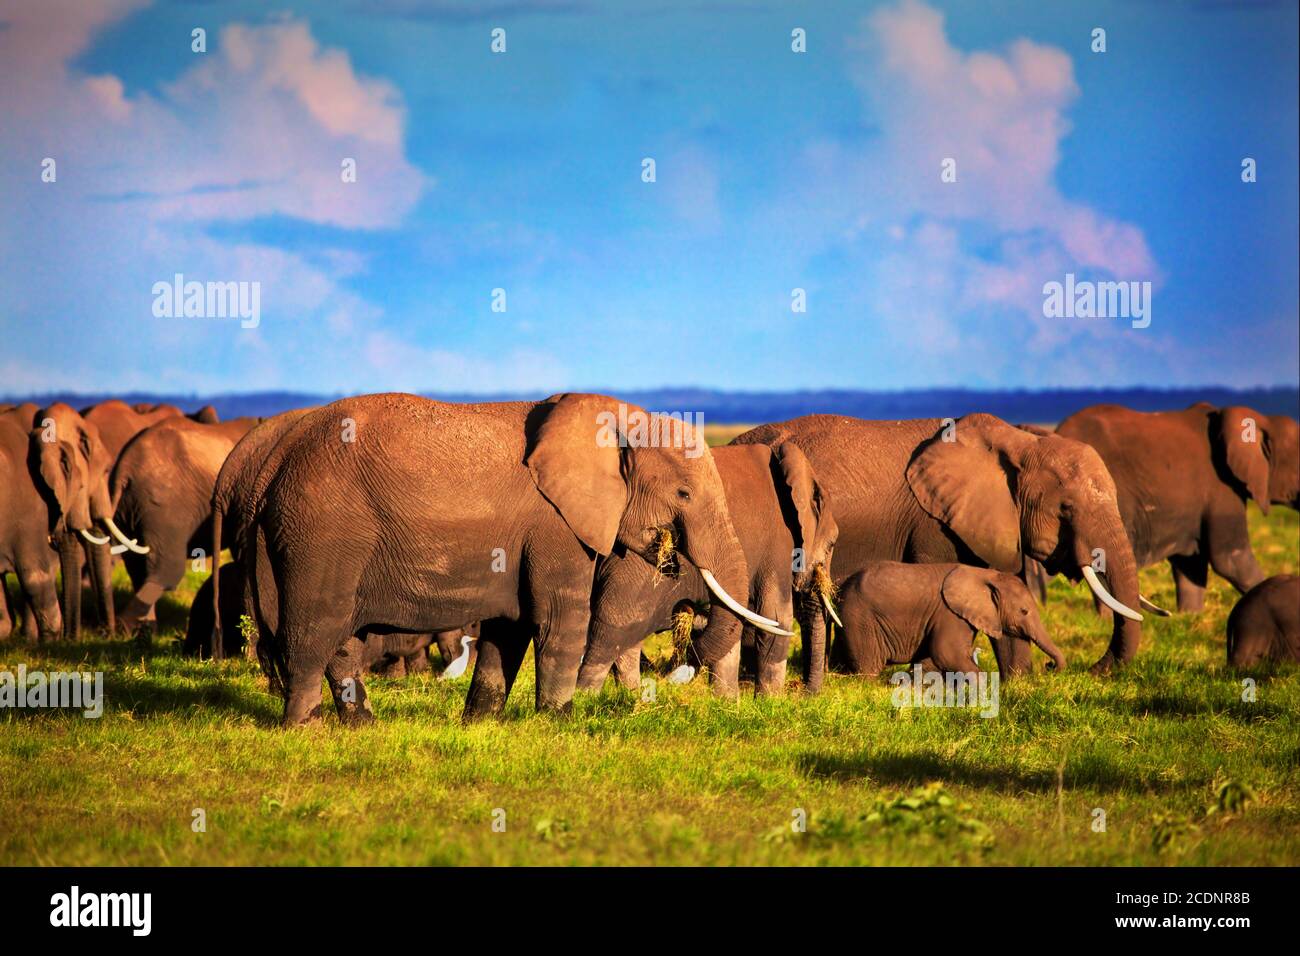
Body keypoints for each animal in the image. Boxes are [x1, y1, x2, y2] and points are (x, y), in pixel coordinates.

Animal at [110, 413, 260, 636]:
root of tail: (125, 468)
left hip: (128, 509)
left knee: (137, 567)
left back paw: (141, 630)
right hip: (166, 508)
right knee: (167, 569)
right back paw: (126, 627)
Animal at [240, 392, 787, 727]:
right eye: (683, 494)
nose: (685, 615)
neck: (616, 417)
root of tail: (272, 465)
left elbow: (511, 627)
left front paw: (481, 723)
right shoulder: (555, 525)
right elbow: (558, 620)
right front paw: (561, 723)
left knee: (342, 640)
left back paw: (363, 728)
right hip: (323, 531)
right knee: (317, 627)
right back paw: (305, 730)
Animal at [575, 441, 838, 696]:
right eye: (832, 545)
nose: (806, 694)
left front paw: (727, 702)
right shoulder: (779, 542)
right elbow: (776, 617)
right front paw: (767, 701)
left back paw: (631, 694)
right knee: (616, 624)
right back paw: (591, 696)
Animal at [833, 562, 1066, 678]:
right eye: (1024, 611)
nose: (1049, 666)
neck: (985, 574)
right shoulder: (949, 614)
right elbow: (946, 653)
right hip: (860, 619)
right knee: (868, 669)